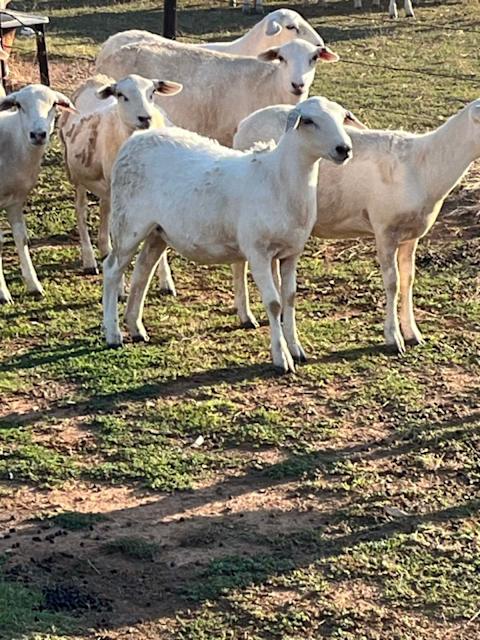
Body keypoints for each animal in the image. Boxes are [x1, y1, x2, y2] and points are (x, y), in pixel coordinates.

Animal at [0, 84, 75, 303]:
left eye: (54, 104)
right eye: (18, 105)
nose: (38, 134)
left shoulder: (15, 201)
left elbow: (21, 239)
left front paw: (34, 285)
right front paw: (2, 293)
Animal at [58, 73, 182, 276]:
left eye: (152, 93)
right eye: (121, 95)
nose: (145, 118)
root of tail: (95, 79)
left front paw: (166, 279)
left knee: (104, 207)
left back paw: (104, 248)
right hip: (76, 174)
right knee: (81, 210)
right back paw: (89, 259)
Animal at [102, 97, 353, 373]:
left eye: (341, 118)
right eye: (308, 121)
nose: (344, 149)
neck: (278, 179)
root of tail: (135, 140)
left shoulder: (291, 252)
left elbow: (289, 299)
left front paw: (296, 349)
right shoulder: (257, 252)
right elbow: (274, 304)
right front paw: (282, 358)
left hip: (158, 231)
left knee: (142, 270)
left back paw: (136, 328)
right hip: (128, 224)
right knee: (112, 270)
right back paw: (113, 334)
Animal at [228, 98, 480, 354]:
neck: (425, 164)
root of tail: (244, 123)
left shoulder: (411, 235)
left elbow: (408, 280)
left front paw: (412, 333)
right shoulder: (384, 229)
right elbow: (392, 283)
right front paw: (394, 338)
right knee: (240, 263)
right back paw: (246, 316)